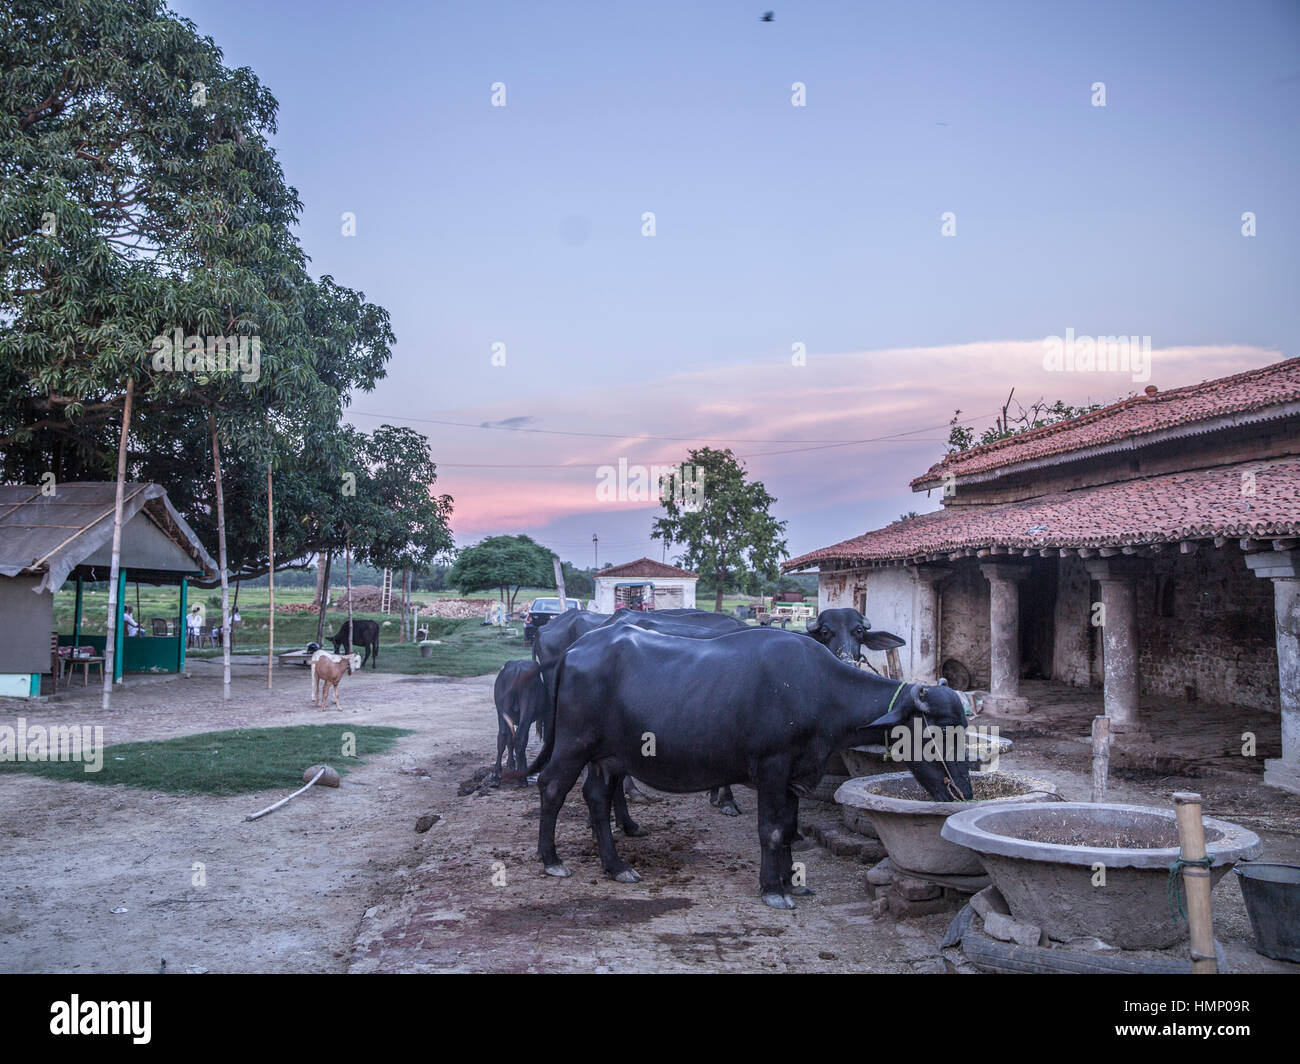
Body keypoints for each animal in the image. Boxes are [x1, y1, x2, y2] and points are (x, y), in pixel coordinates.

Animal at [530, 625, 972, 909]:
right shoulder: (773, 768)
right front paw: (773, 889)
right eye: (939, 731)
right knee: (552, 787)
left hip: (607, 757)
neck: (820, 690)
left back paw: (616, 866)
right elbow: (771, 830)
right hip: (573, 744)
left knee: (596, 797)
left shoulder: (795, 775)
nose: (963, 793)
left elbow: (789, 829)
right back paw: (552, 860)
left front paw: (795, 883)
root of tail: (575, 650)